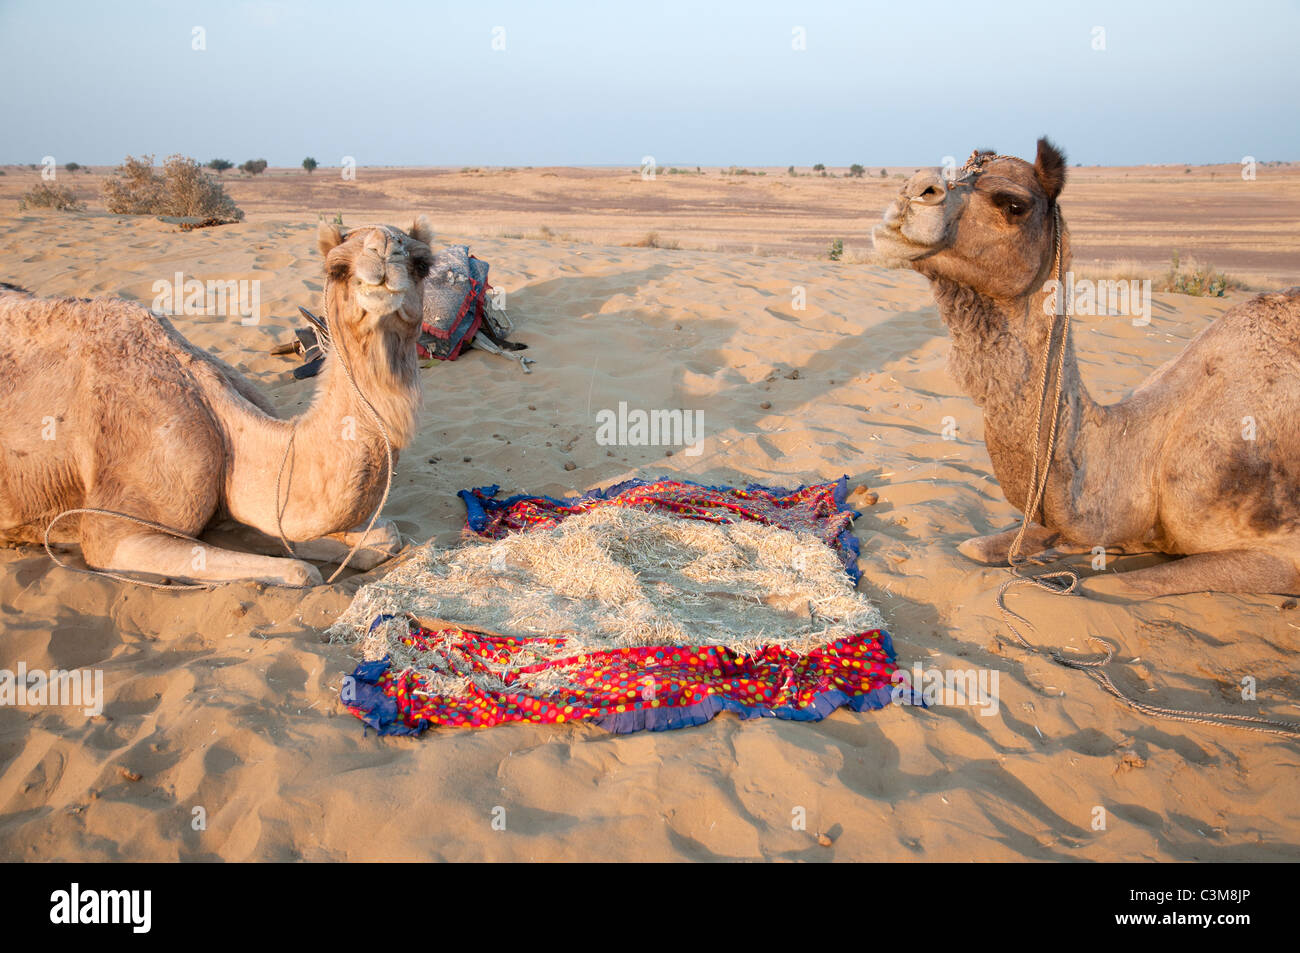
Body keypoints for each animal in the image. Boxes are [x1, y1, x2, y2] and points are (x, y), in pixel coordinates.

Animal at [0, 219, 435, 587]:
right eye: (337, 269)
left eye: (422, 263)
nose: (382, 257)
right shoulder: (119, 524)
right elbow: (301, 571)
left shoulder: (230, 509)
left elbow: (382, 538)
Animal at [873, 138, 1300, 597]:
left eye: (1013, 204)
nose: (912, 191)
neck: (1146, 458)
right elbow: (975, 546)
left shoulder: (1282, 554)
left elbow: (1119, 587)